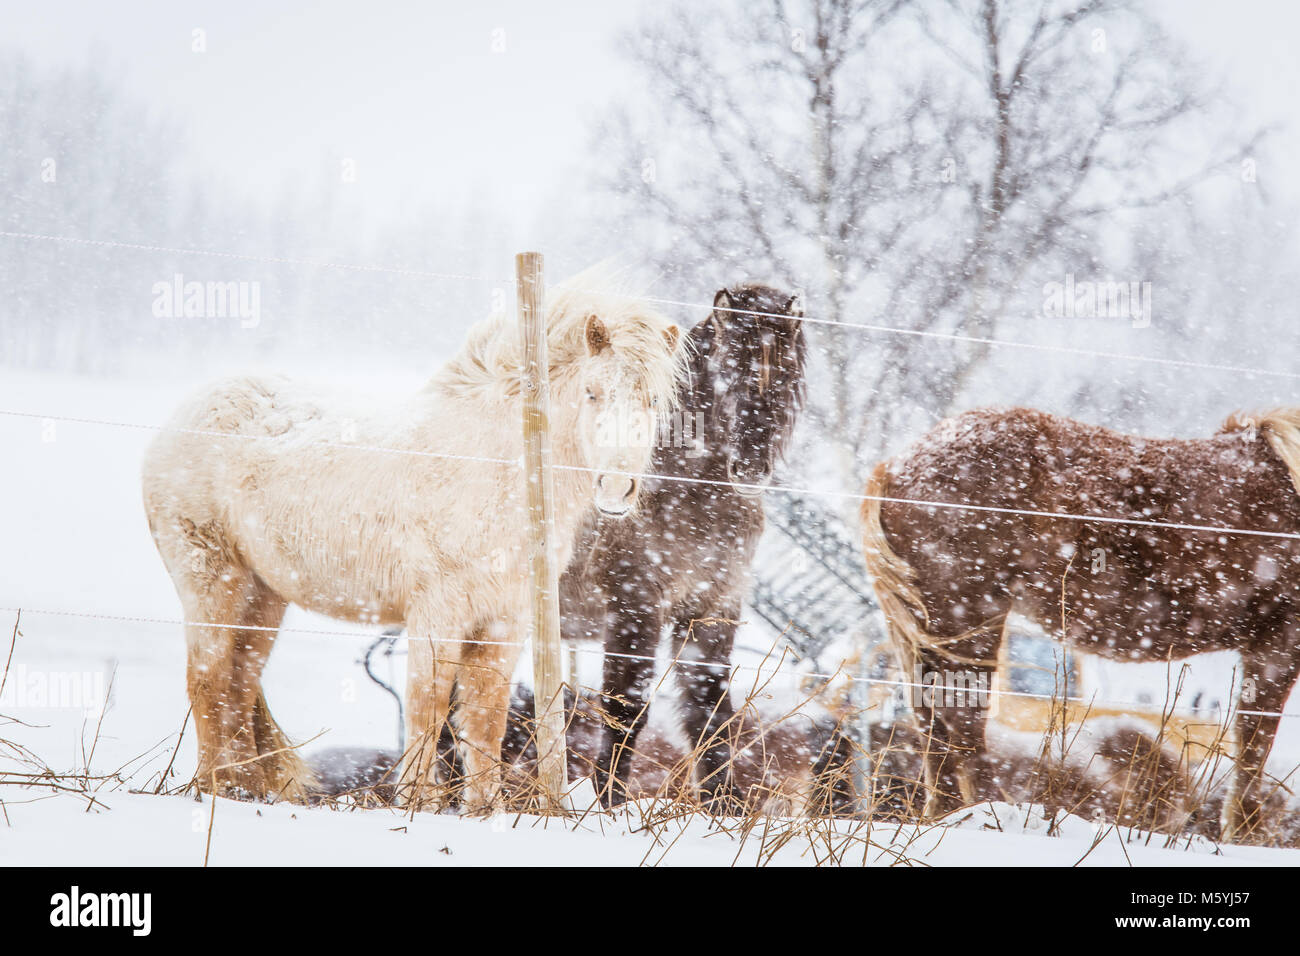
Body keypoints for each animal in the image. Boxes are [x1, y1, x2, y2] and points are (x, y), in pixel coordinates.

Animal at [141, 271, 683, 810]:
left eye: (653, 401)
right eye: (592, 393)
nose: (617, 489)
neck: (497, 466)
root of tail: (185, 413)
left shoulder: (503, 622)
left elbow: (485, 719)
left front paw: (484, 808)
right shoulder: (437, 613)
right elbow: (429, 706)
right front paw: (418, 803)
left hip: (263, 595)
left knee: (238, 683)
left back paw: (245, 790)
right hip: (211, 578)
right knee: (208, 680)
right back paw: (214, 788)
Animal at [559, 284, 807, 809]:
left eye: (785, 375)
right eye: (727, 371)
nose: (750, 469)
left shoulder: (712, 609)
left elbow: (710, 712)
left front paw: (723, 806)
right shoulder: (635, 605)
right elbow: (625, 708)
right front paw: (609, 803)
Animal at [861, 406, 1300, 841]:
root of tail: (897, 465)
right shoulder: (1279, 644)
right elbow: (1253, 746)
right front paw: (1243, 834)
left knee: (935, 726)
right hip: (969, 620)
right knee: (961, 724)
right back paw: (987, 815)